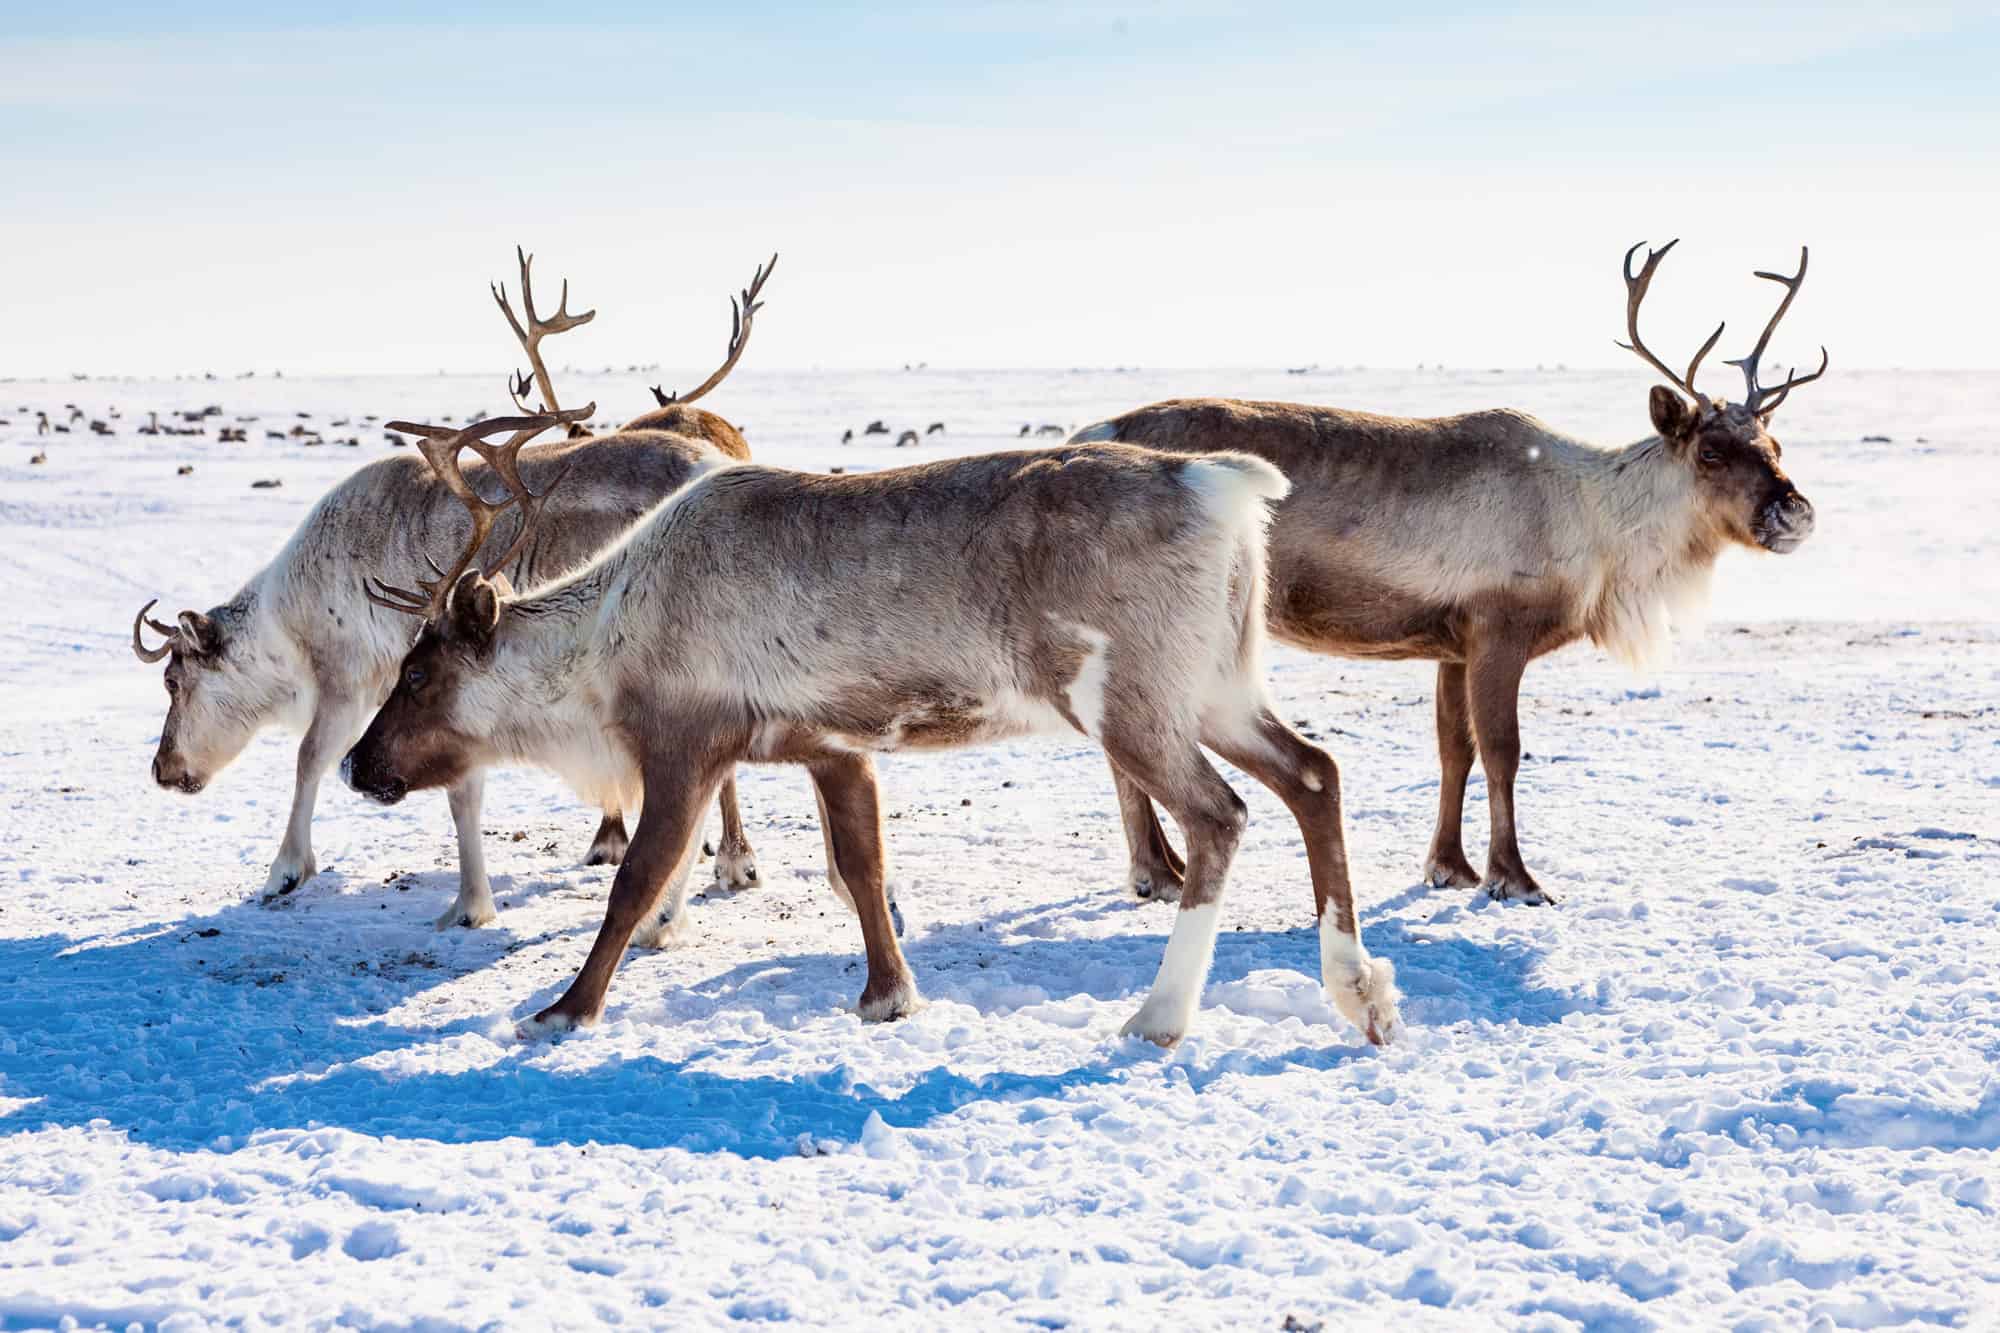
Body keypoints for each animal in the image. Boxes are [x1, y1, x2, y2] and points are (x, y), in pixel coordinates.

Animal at [133, 248, 779, 927]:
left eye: (173, 681)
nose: (161, 769)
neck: (288, 628)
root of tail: (722, 462)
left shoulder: (349, 676)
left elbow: (312, 758)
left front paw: (287, 871)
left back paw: (733, 860)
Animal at [339, 418, 1402, 1050]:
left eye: (419, 673)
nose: (356, 763)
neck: (605, 639)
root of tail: (1226, 484)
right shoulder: (830, 744)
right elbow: (861, 866)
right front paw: (889, 993)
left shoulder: (685, 740)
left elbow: (638, 876)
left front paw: (563, 1008)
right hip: (1220, 683)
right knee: (1315, 772)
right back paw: (1361, 992)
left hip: (1131, 698)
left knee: (1221, 814)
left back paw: (1161, 1015)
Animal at [1072, 241, 1825, 906]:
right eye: (1710, 451)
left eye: (1775, 443)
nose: (1796, 512)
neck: (1598, 527)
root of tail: (1088, 432)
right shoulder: (1500, 629)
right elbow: (1502, 750)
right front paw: (1514, 878)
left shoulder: (1452, 644)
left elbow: (1453, 749)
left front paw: (1449, 866)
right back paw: (1157, 872)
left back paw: (1163, 865)